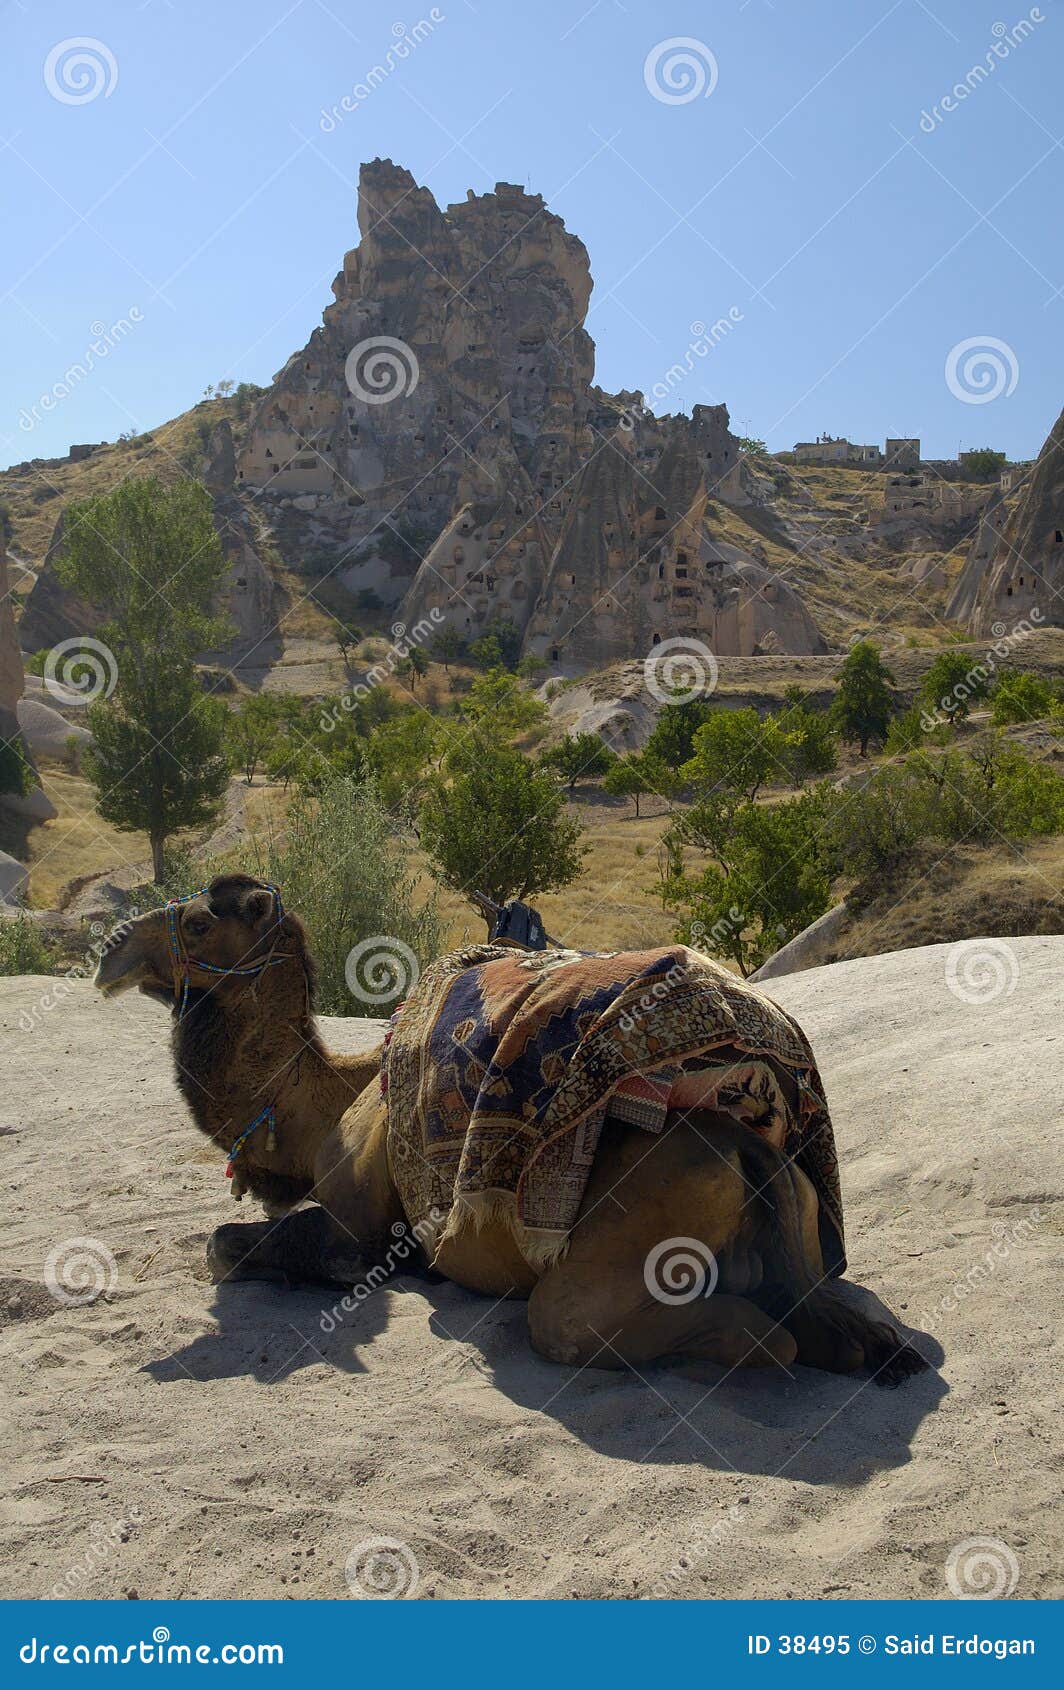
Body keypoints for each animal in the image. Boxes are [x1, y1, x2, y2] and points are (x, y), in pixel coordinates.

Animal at [94, 874, 926, 1387]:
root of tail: (750, 1153)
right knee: (841, 1327)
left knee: (719, 1334)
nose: (109, 948)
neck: (329, 1101)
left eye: (199, 919)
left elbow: (230, 1248)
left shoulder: (362, 1220)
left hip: (598, 1283)